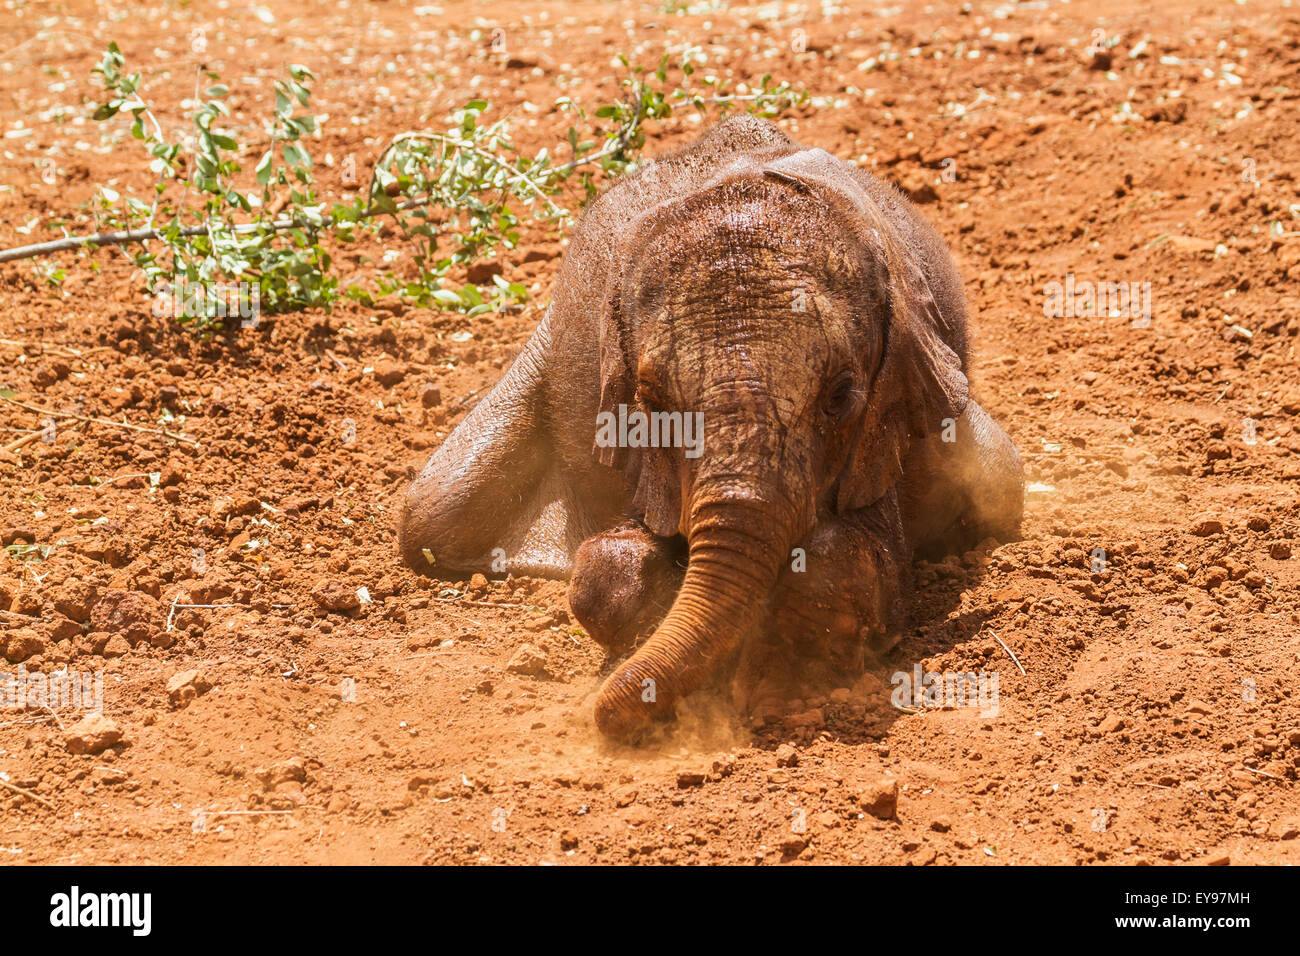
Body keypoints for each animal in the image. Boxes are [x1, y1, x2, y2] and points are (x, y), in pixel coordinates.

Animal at [397, 115, 1024, 740]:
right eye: (651, 402)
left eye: (842, 397)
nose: (601, 720)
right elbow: (610, 570)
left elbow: (853, 559)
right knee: (435, 513)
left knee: (998, 476)